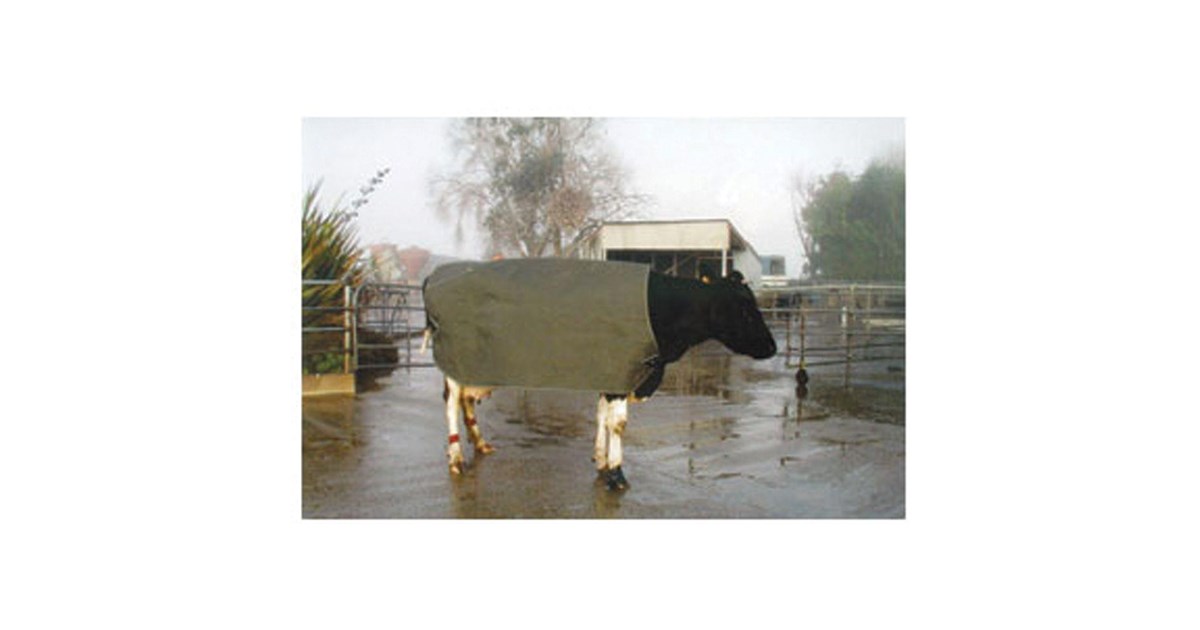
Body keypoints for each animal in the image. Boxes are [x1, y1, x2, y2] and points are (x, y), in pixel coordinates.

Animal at [424, 262, 777, 490]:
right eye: (744, 305)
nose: (773, 347)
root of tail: (439, 273)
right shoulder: (621, 369)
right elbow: (617, 423)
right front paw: (616, 473)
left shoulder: (614, 371)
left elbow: (602, 418)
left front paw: (602, 460)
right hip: (455, 359)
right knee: (452, 403)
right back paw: (456, 458)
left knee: (465, 402)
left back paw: (481, 444)